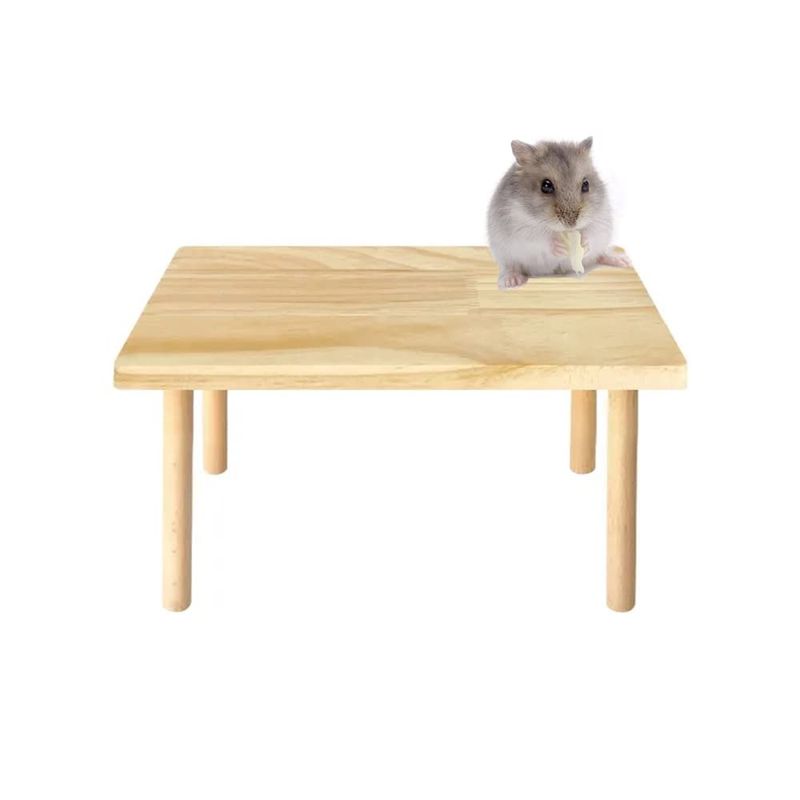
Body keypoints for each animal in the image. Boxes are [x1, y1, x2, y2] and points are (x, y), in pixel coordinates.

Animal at [487, 137, 631, 288]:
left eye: (586, 184)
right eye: (546, 185)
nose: (572, 224)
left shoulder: (601, 220)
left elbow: (591, 234)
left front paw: (583, 242)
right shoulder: (520, 229)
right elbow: (541, 239)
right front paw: (559, 247)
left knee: (600, 254)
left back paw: (623, 261)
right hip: (504, 254)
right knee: (511, 267)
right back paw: (512, 281)